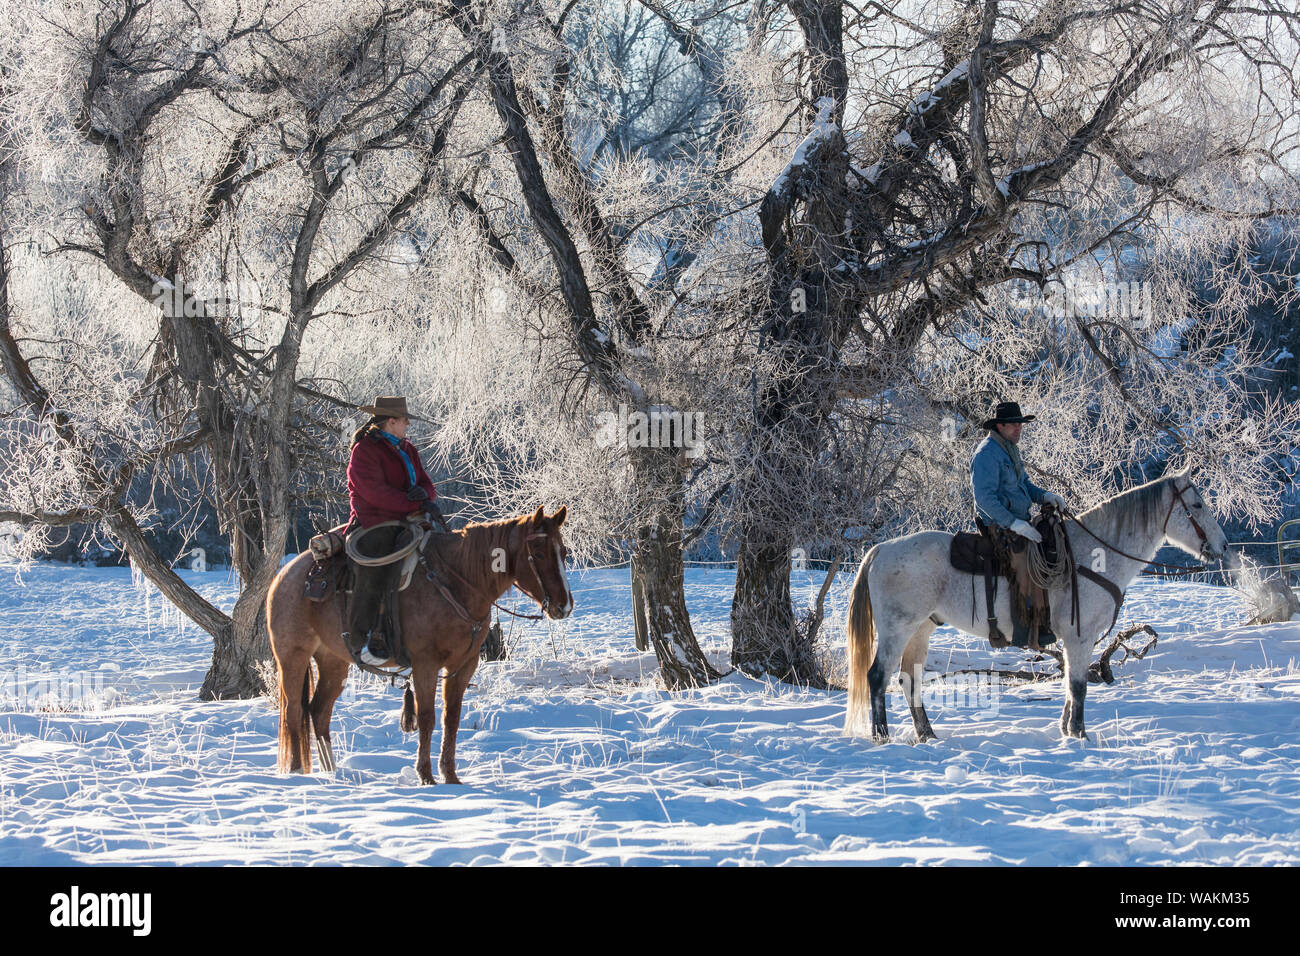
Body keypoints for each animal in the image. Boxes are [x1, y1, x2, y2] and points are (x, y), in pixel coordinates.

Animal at [267, 506, 573, 784]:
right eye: (539, 553)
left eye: (564, 552)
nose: (564, 606)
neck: (456, 580)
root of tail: (284, 574)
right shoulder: (425, 664)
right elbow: (427, 717)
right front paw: (425, 775)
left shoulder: (464, 665)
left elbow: (452, 717)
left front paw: (450, 776)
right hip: (292, 656)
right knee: (293, 711)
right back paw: (296, 772)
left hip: (333, 661)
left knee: (318, 711)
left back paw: (331, 772)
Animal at [844, 467, 1228, 743]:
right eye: (1197, 506)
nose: (1222, 546)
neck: (1091, 556)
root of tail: (881, 549)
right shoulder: (1079, 636)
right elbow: (1078, 685)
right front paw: (1080, 736)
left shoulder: (1075, 641)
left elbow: (1070, 684)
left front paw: (1067, 731)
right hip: (897, 629)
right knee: (877, 677)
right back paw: (881, 736)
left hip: (920, 630)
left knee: (909, 680)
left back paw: (928, 735)